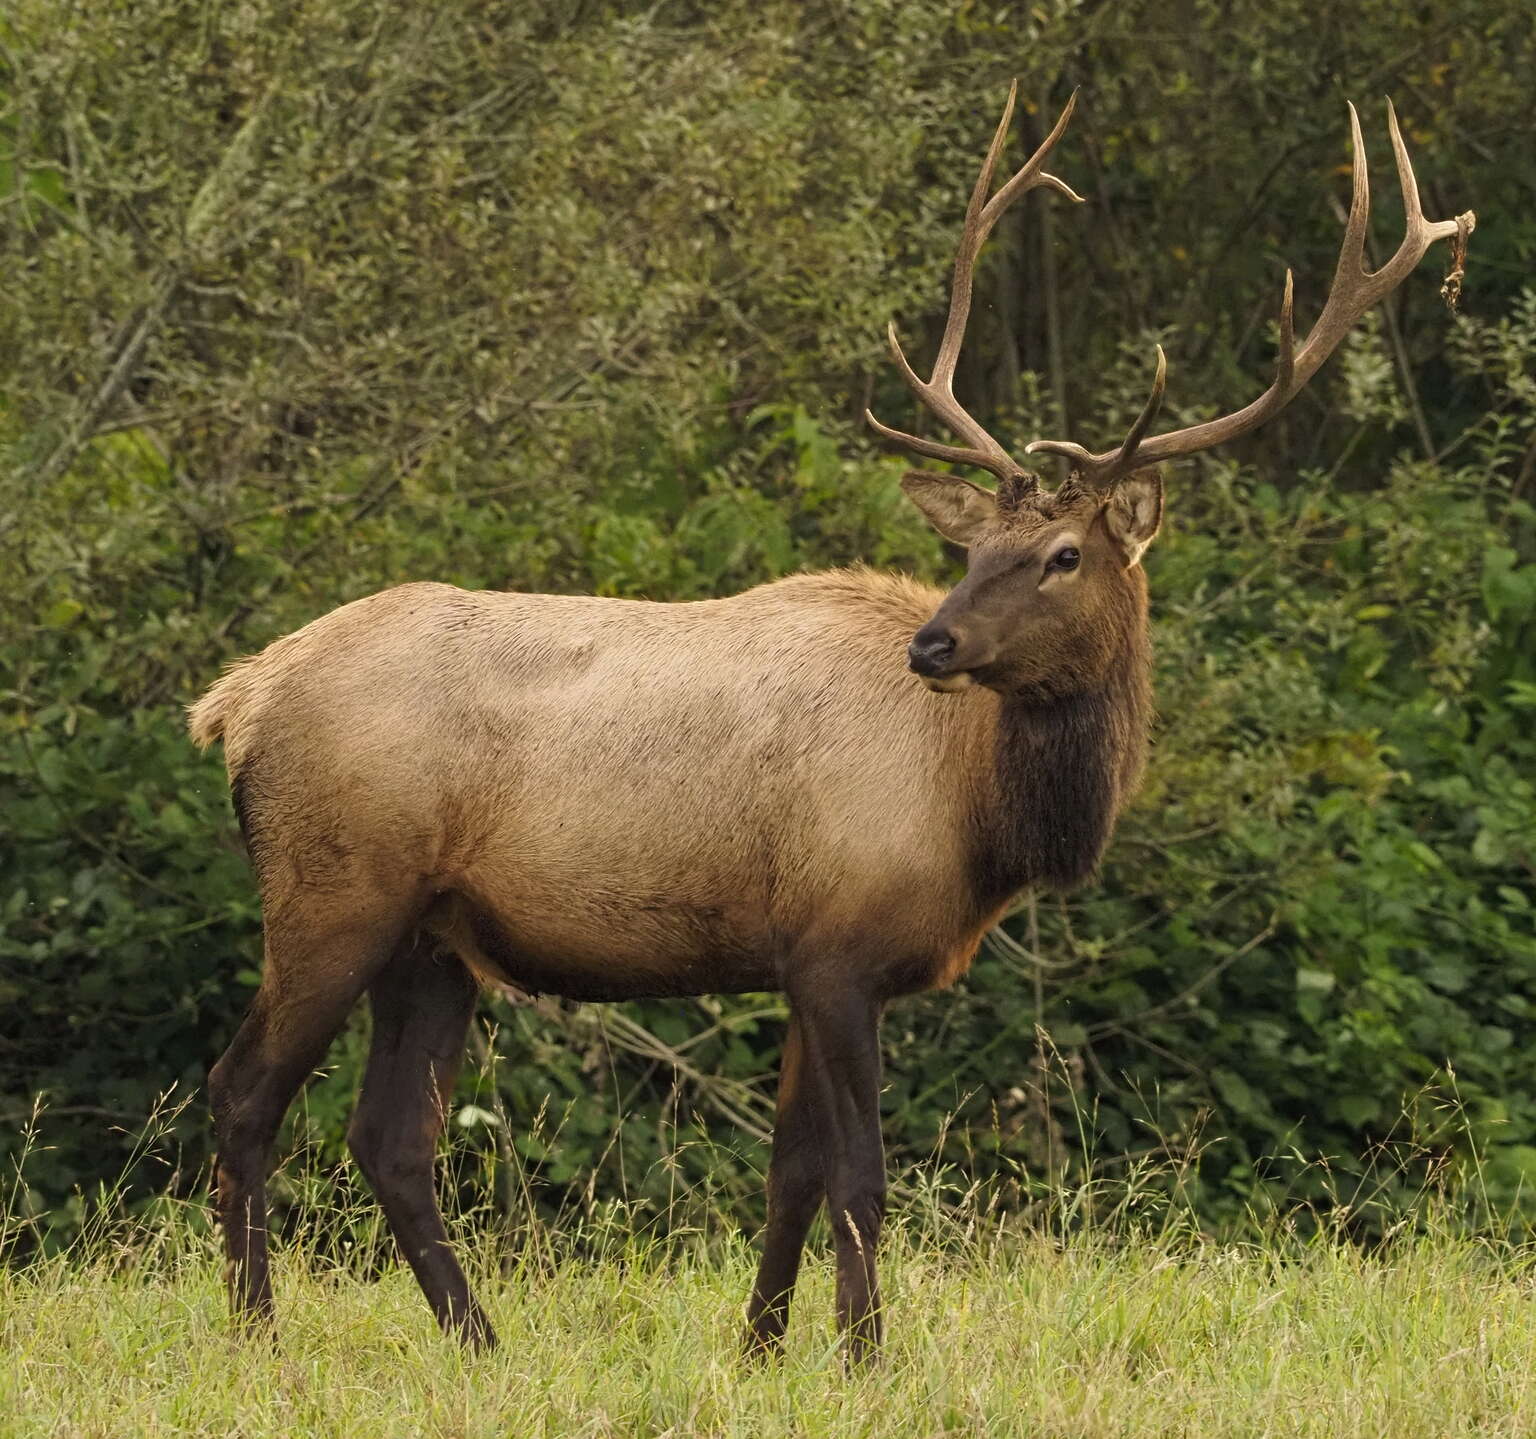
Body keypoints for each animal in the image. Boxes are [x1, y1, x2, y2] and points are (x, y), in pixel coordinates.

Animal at [188, 82, 1472, 1363]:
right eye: (972, 547)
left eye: (1062, 553)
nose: (936, 645)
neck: (981, 817)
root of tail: (235, 700)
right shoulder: (841, 949)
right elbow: (861, 1173)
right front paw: (864, 1354)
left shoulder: (807, 958)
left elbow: (791, 1172)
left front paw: (762, 1345)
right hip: (333, 893)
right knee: (243, 1092)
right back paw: (256, 1328)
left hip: (436, 939)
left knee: (391, 1136)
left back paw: (481, 1341)